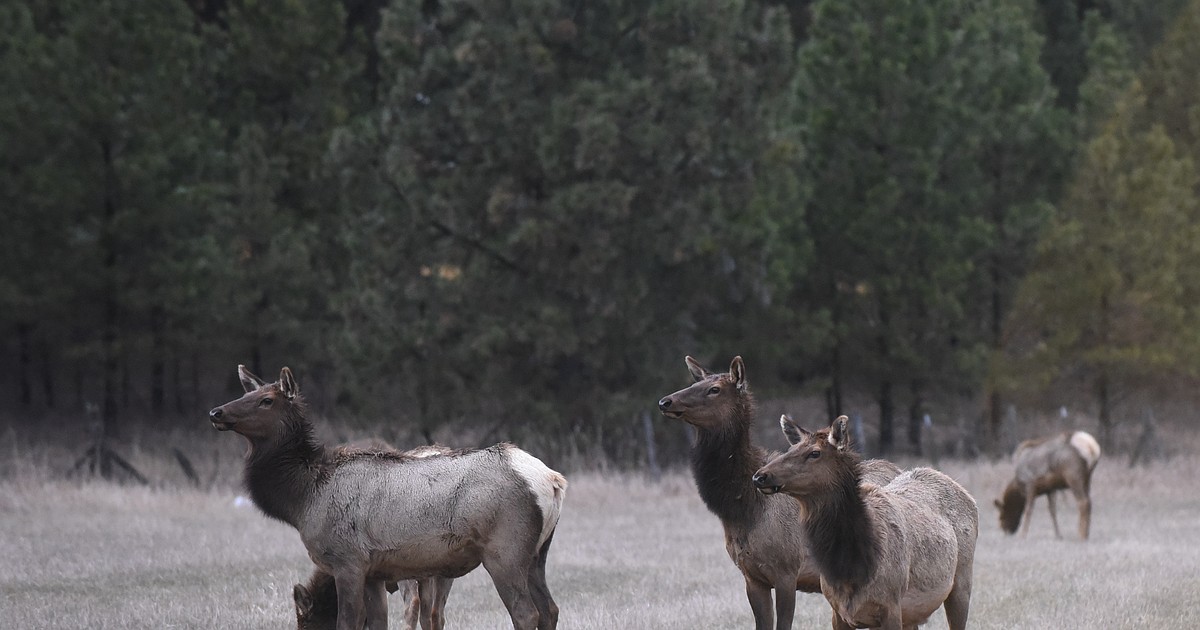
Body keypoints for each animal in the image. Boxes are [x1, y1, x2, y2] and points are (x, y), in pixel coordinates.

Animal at [209, 365, 566, 630]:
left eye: (267, 400)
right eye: (246, 393)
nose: (216, 412)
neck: (303, 499)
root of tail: (551, 480)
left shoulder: (347, 560)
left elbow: (348, 623)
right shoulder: (375, 571)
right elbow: (378, 622)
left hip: (504, 550)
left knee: (526, 613)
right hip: (537, 552)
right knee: (550, 609)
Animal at [657, 356, 901, 630]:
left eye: (714, 389)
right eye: (695, 383)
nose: (665, 401)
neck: (743, 509)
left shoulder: (787, 571)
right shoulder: (752, 577)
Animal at [752, 415, 978, 630]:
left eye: (815, 453)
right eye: (791, 448)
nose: (760, 476)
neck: (851, 570)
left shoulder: (891, 606)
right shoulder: (838, 611)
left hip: (962, 581)